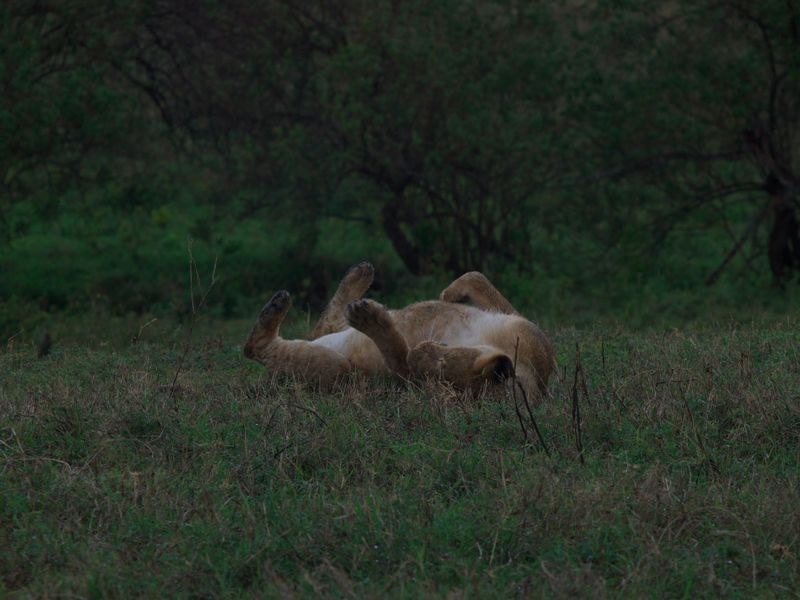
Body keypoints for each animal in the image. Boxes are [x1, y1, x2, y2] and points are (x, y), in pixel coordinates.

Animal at [244, 263, 555, 402]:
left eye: (442, 361)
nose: (431, 344)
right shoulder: (520, 325)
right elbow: (479, 279)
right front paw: (450, 293)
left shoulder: (413, 380)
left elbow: (403, 358)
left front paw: (374, 320)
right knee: (324, 324)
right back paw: (359, 276)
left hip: (340, 371)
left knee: (257, 349)